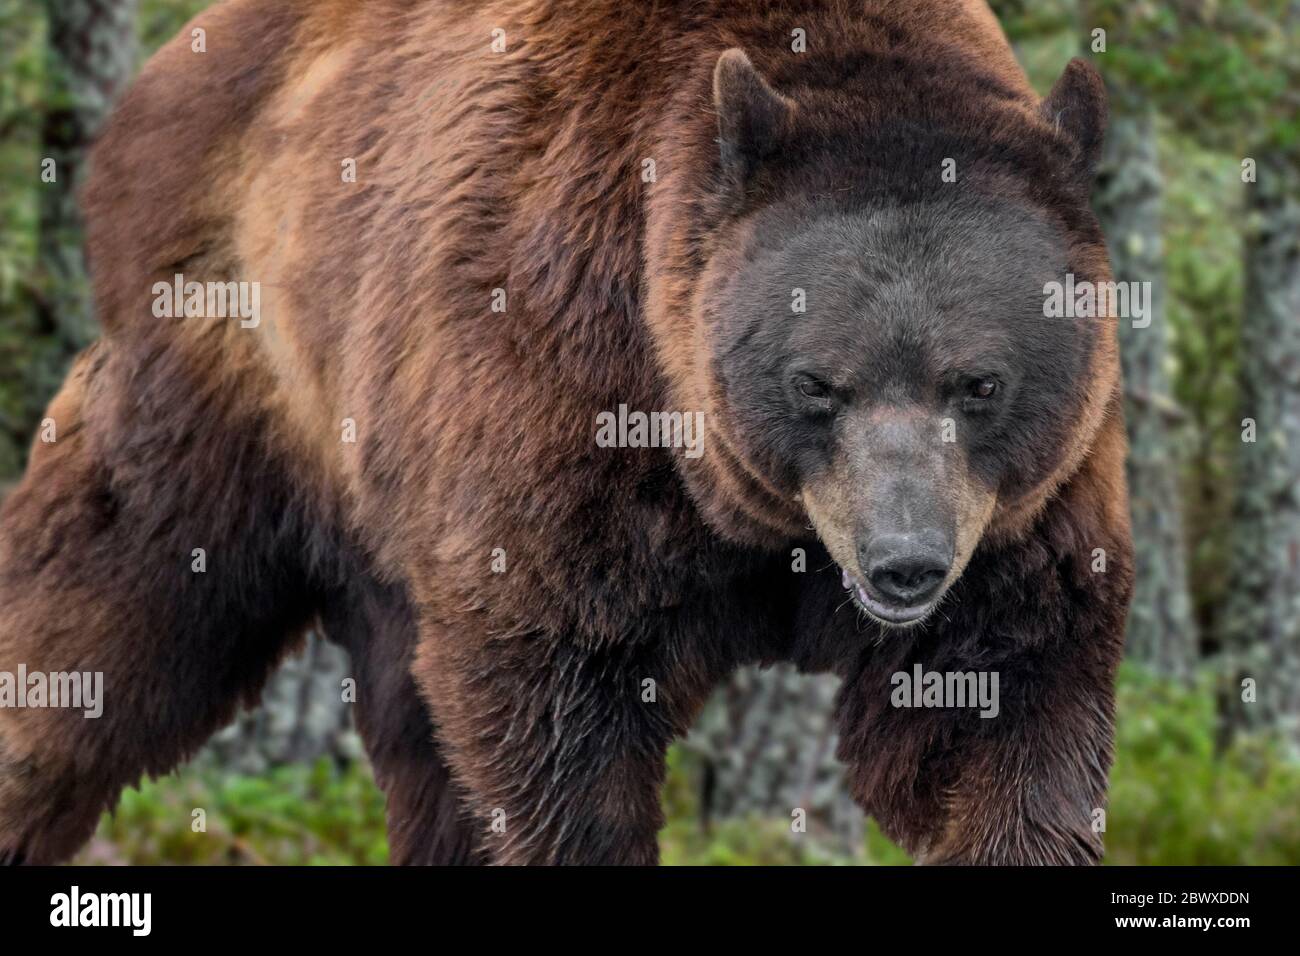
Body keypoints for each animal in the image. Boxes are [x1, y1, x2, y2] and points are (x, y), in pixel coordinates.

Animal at [0, 0, 1132, 865]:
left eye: (978, 381)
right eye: (816, 383)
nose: (904, 561)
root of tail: (165, 75)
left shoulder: (1020, 511)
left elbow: (1000, 702)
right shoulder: (558, 390)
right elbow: (553, 705)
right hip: (241, 376)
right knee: (103, 615)